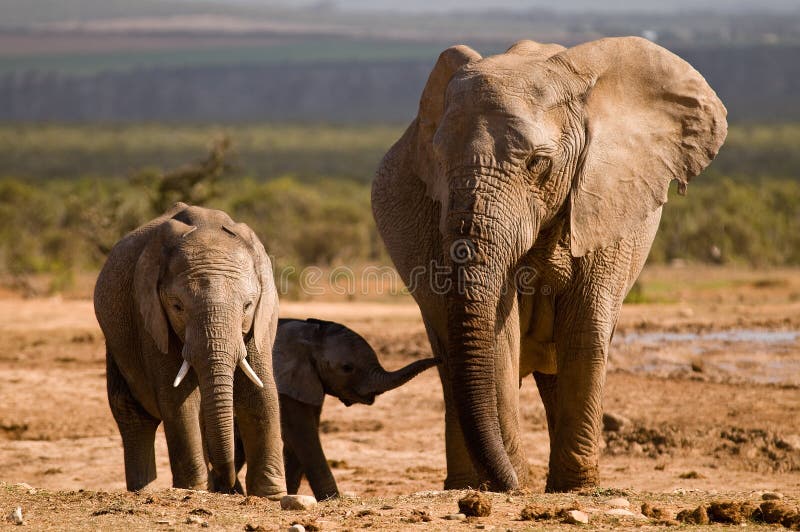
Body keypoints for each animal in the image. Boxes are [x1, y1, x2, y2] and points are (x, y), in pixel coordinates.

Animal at [94, 203, 285, 497]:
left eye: (247, 306)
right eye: (177, 307)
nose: (229, 483)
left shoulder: (262, 320)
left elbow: (260, 393)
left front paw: (270, 494)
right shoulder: (149, 317)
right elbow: (179, 399)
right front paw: (195, 490)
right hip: (116, 344)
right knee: (131, 414)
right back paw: (143, 491)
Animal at [267, 318, 438, 500]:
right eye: (347, 368)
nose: (440, 359)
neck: (306, 333)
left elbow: (301, 436)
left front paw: (290, 495)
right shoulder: (285, 385)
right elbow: (303, 434)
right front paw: (332, 498)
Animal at [371, 37, 726, 492]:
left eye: (537, 163)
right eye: (438, 158)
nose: (514, 484)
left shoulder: (606, 207)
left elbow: (585, 329)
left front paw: (573, 488)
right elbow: (499, 338)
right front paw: (512, 483)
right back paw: (466, 485)